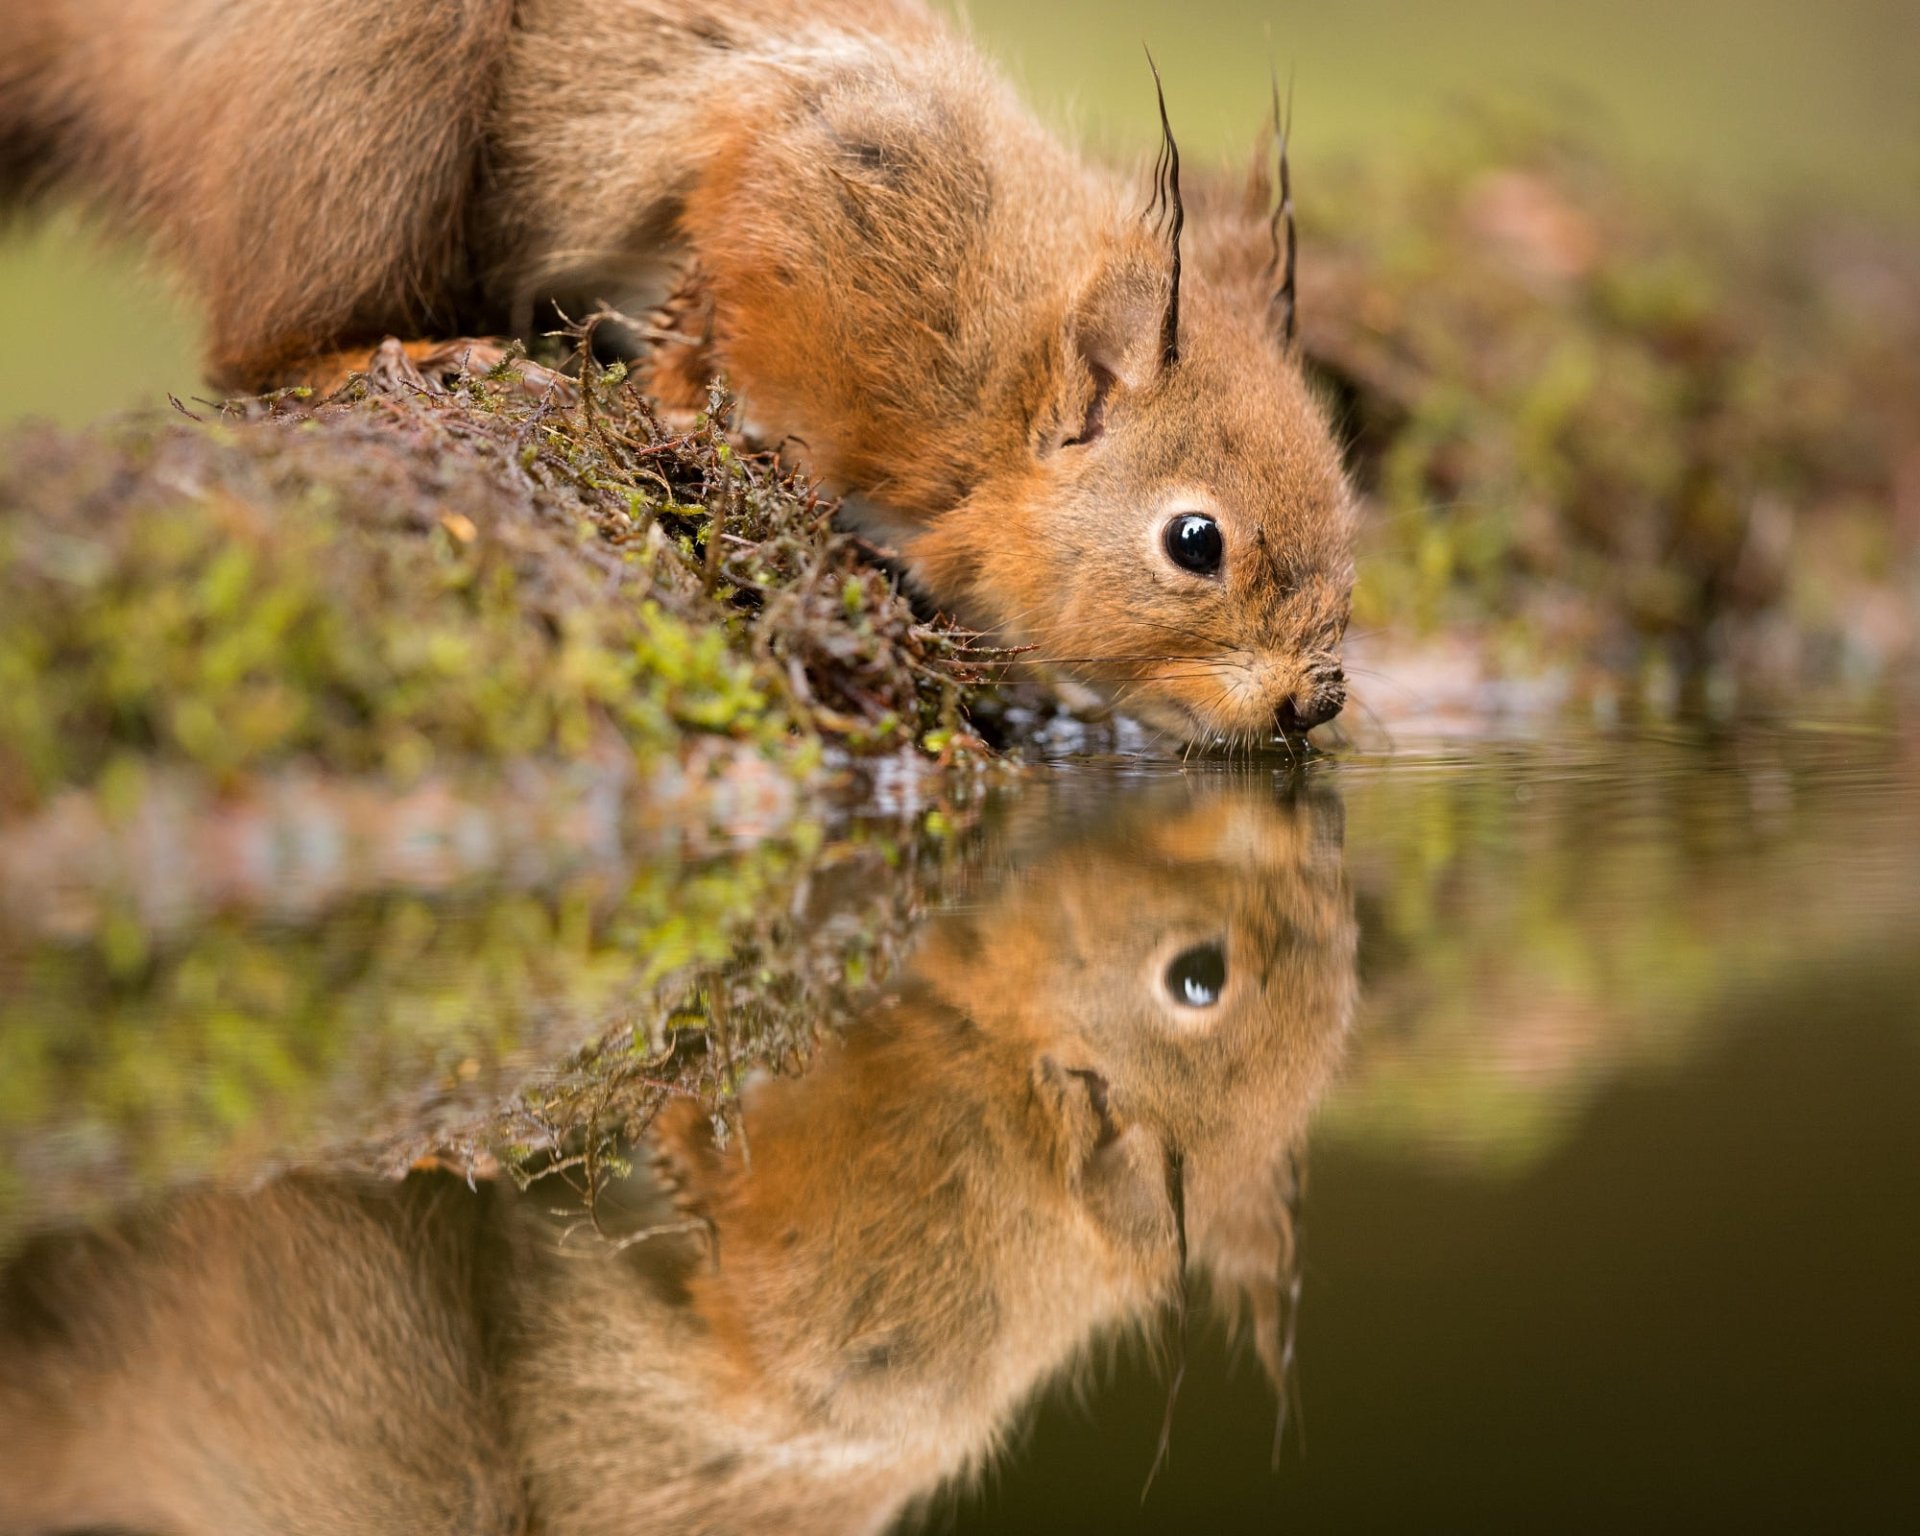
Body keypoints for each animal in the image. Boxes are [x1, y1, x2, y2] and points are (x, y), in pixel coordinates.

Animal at [0, 0, 1354, 746]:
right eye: (1194, 542)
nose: (1313, 704)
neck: (992, 367)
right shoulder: (832, 173)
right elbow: (710, 268)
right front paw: (681, 410)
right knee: (249, 355)